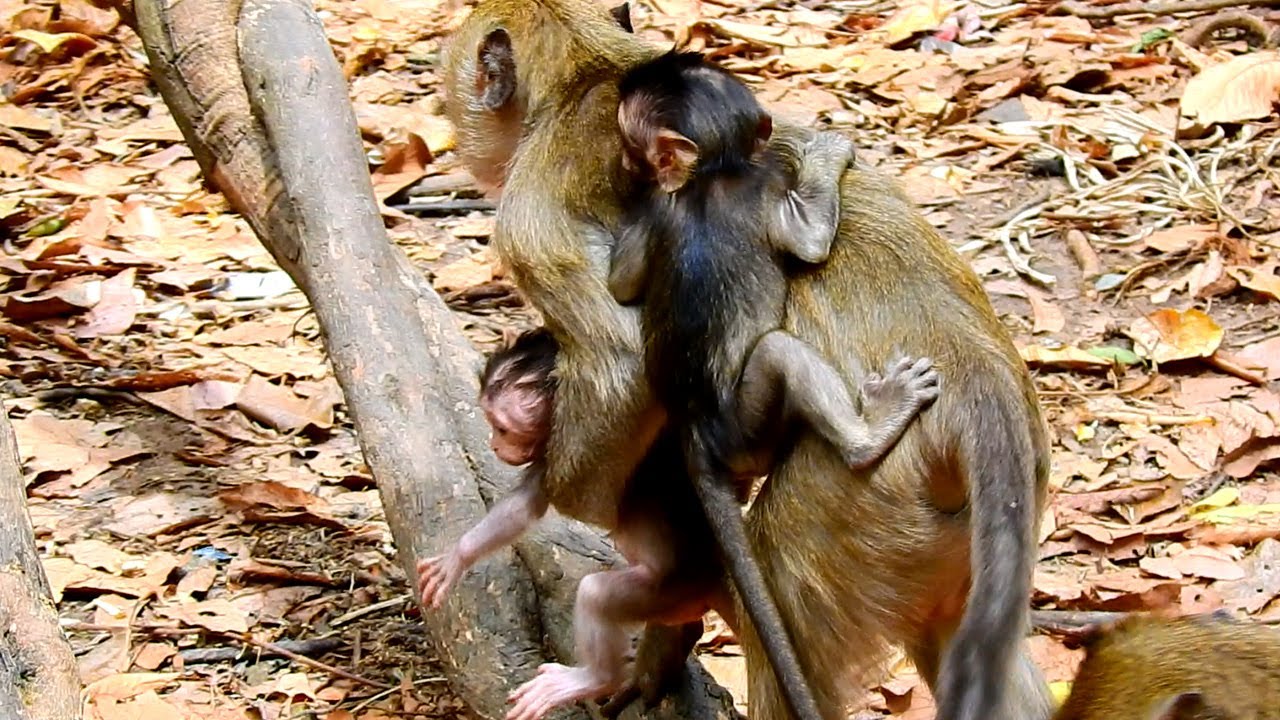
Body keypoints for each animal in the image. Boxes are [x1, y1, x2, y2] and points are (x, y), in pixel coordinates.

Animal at [438, 1, 1054, 720]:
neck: (581, 74)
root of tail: (978, 377)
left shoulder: (528, 217)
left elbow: (621, 367)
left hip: (861, 492)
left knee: (779, 591)